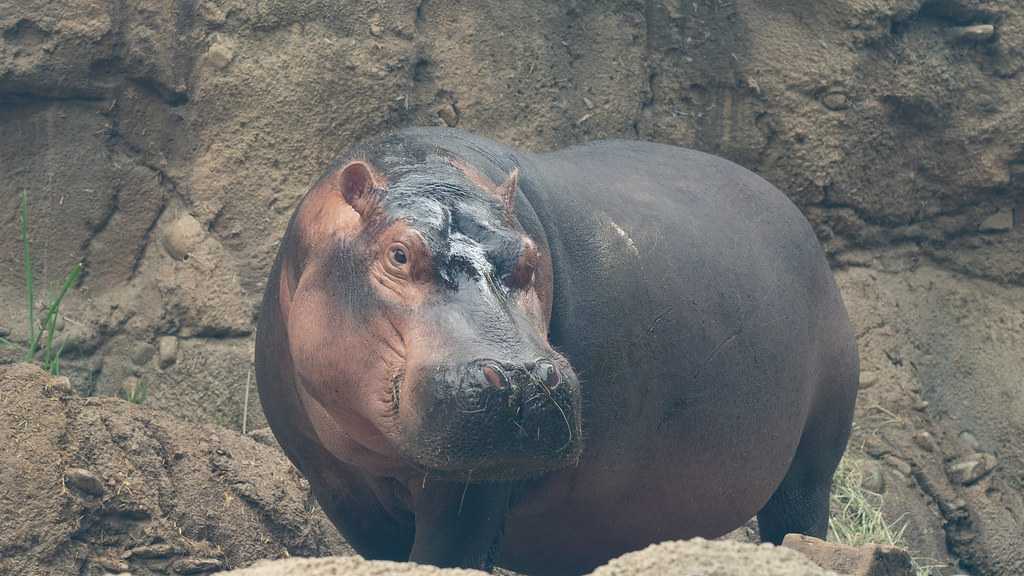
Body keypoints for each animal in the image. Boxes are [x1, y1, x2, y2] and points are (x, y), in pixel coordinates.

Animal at [255, 128, 859, 575]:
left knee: (798, 520)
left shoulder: (475, 485)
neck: (427, 171)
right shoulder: (338, 486)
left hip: (812, 463)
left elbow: (446, 555)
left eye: (529, 256)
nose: (524, 379)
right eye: (399, 253)